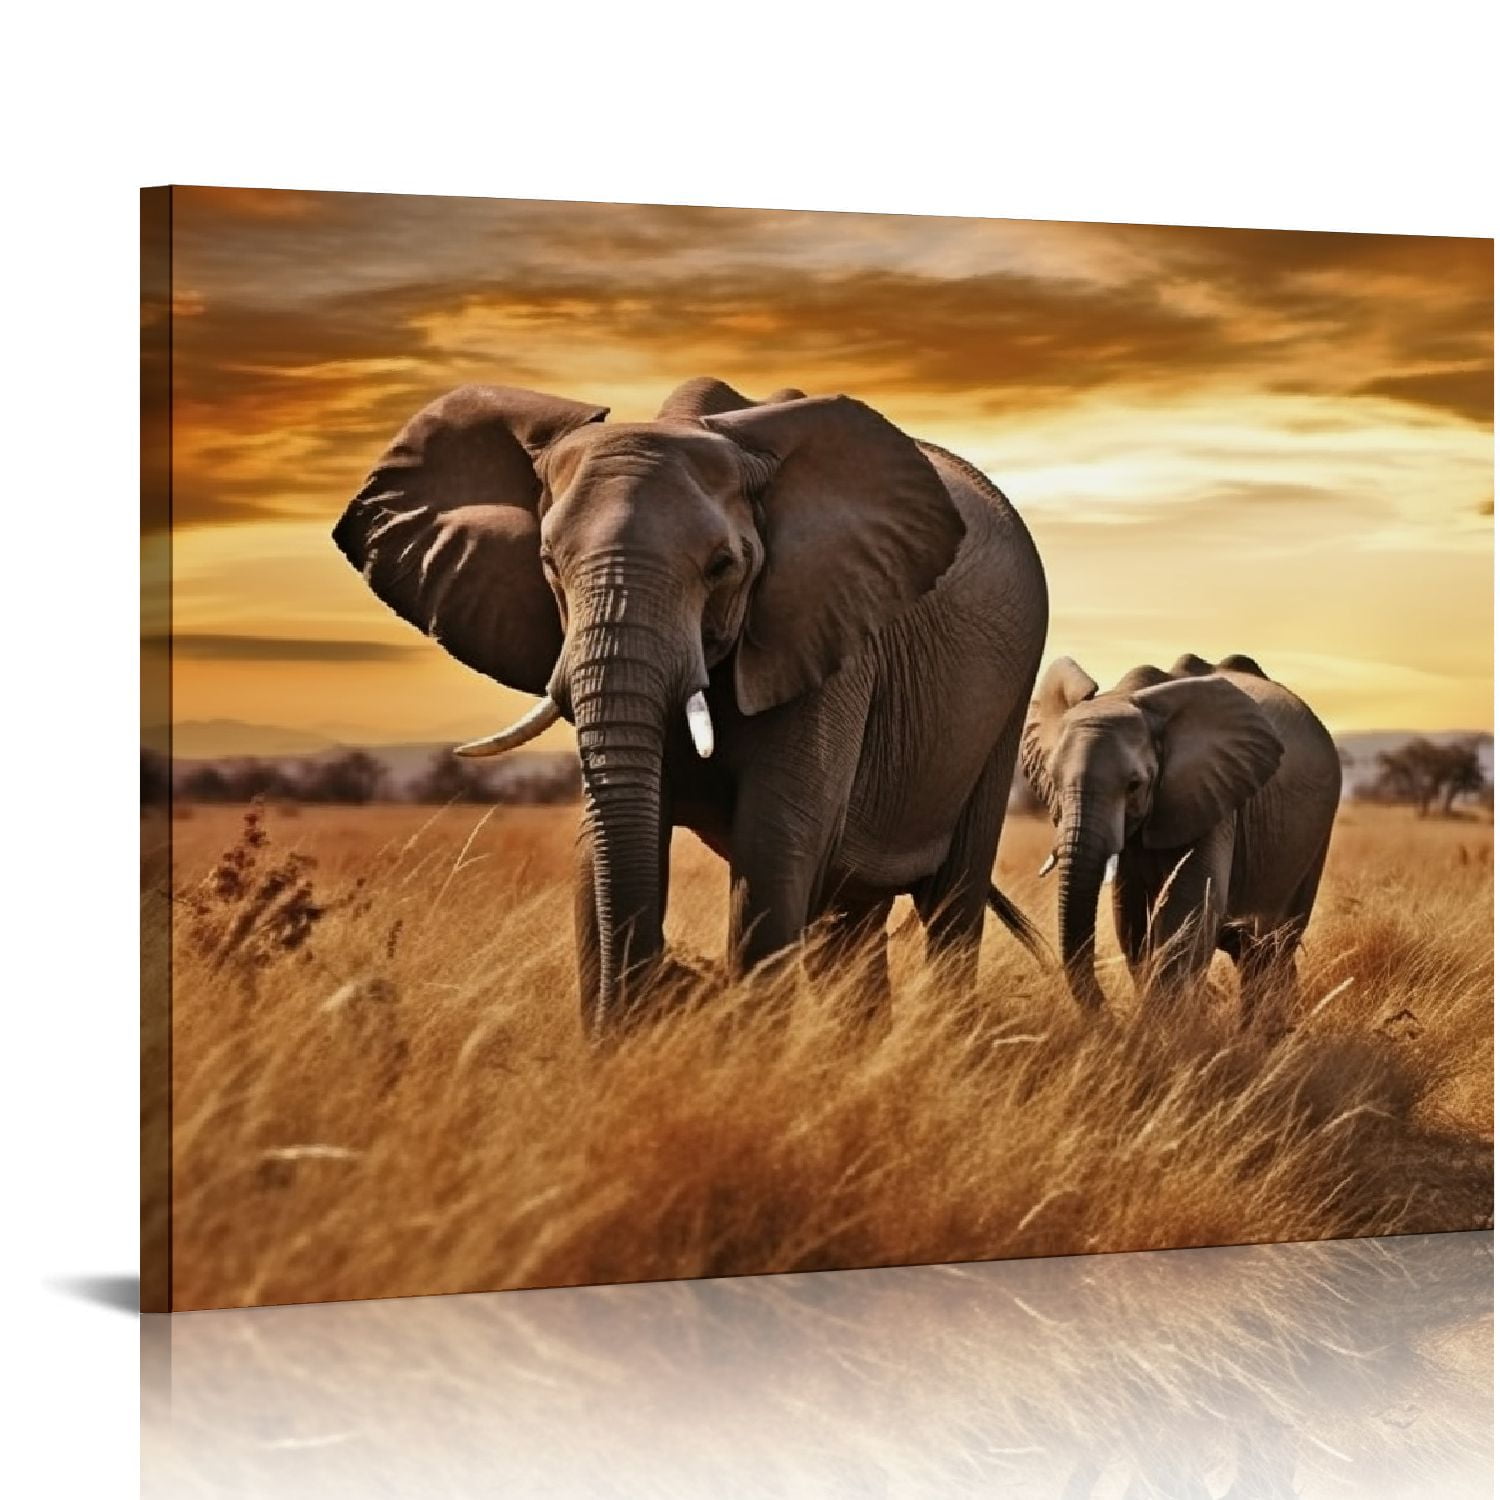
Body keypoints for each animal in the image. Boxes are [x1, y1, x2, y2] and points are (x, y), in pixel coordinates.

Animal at [334, 376, 1050, 1033]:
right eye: (549, 563)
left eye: (722, 567)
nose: (664, 987)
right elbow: (606, 842)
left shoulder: (828, 633)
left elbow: (775, 845)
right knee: (850, 919)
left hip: (1006, 702)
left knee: (949, 903)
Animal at [1022, 652, 1342, 1024]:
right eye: (1053, 780)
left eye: (1134, 785)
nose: (1115, 1021)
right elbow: (1131, 918)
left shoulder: (1211, 792)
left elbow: (1189, 909)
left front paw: (1161, 1027)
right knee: (1256, 950)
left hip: (1316, 836)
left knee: (1273, 945)